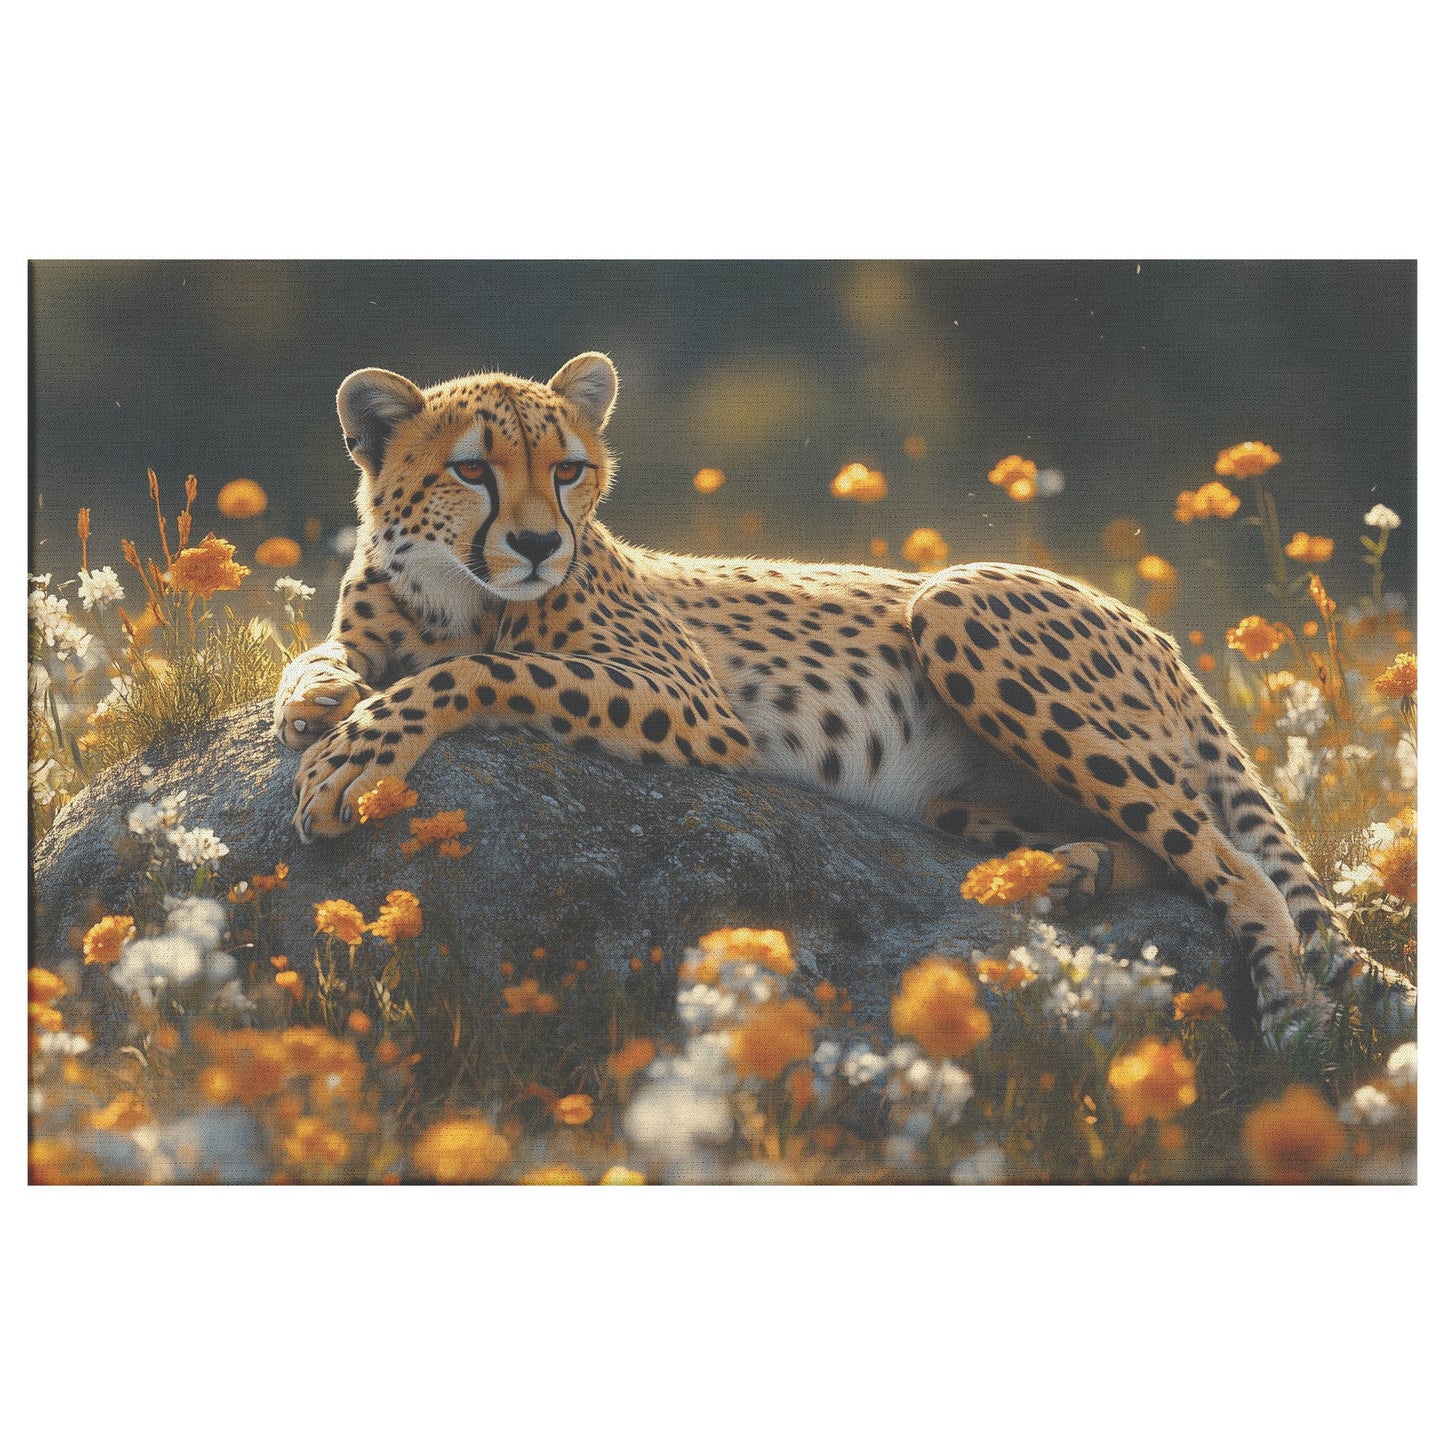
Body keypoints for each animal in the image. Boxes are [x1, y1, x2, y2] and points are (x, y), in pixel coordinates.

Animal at [275, 351, 1411, 1043]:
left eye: (566, 468)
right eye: (472, 470)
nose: (537, 544)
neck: (447, 592)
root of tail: (1157, 630)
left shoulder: (695, 708)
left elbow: (481, 672)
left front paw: (351, 759)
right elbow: (312, 656)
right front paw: (316, 700)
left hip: (956, 603)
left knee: (1230, 864)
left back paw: (1284, 1002)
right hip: (966, 789)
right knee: (1164, 849)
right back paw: (1068, 871)